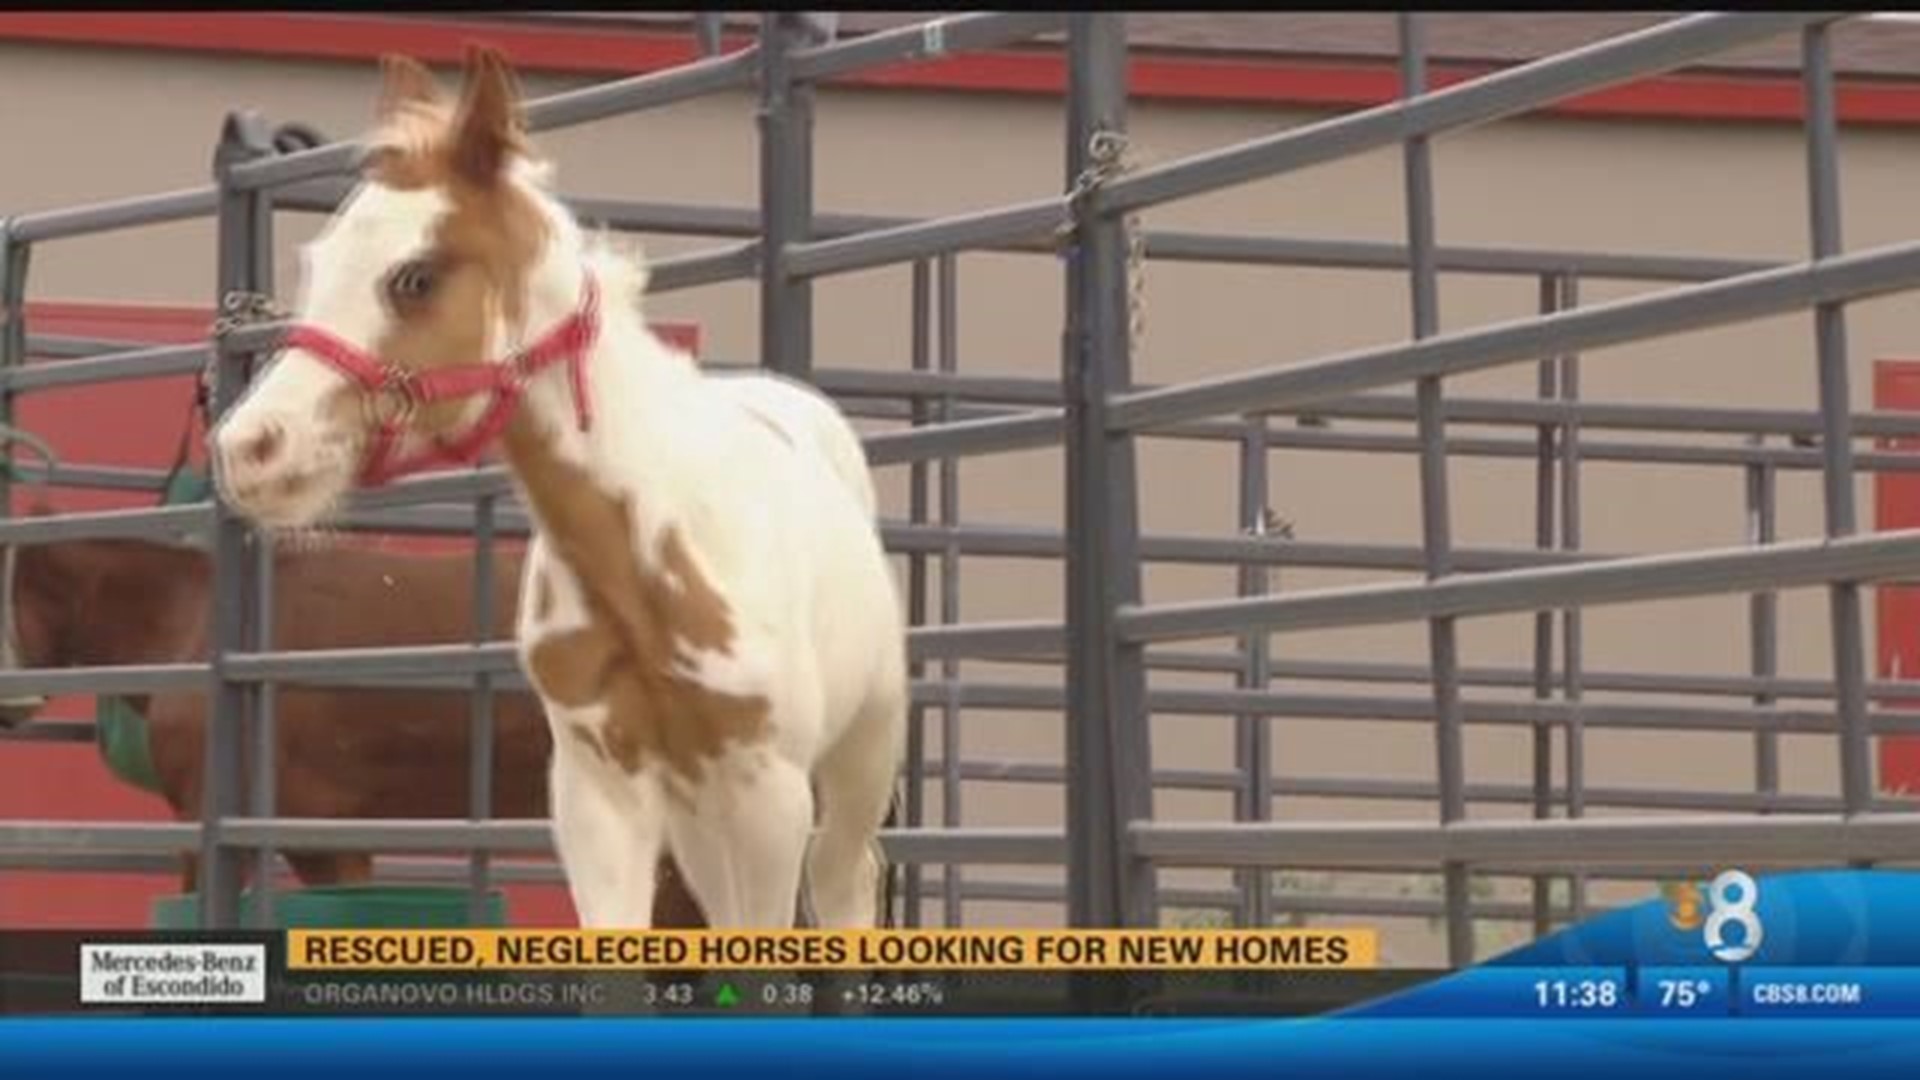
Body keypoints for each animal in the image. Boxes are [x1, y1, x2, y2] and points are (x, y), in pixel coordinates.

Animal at [207, 48, 908, 930]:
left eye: (414, 277)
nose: (250, 448)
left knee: (846, 881)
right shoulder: (597, 787)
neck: (645, 559)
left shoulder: (767, 790)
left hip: (856, 761)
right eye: (316, 266)